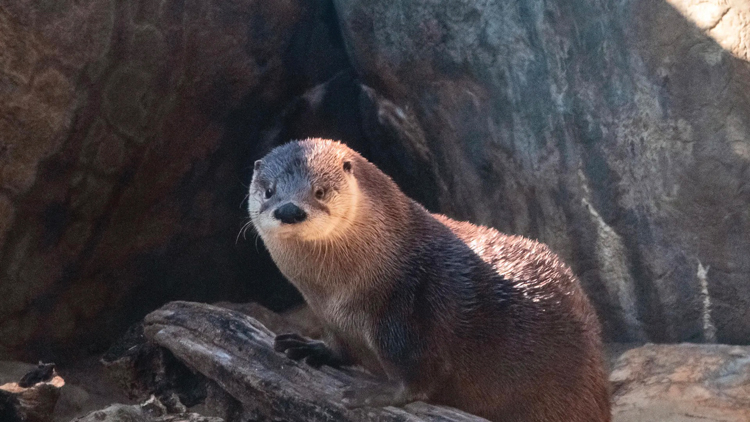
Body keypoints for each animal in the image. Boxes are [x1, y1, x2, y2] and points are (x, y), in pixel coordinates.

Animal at [247, 138, 610, 422]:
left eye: (320, 191)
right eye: (269, 191)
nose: (289, 210)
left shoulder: (410, 310)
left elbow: (418, 375)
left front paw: (372, 393)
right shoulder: (333, 320)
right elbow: (340, 347)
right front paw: (309, 347)